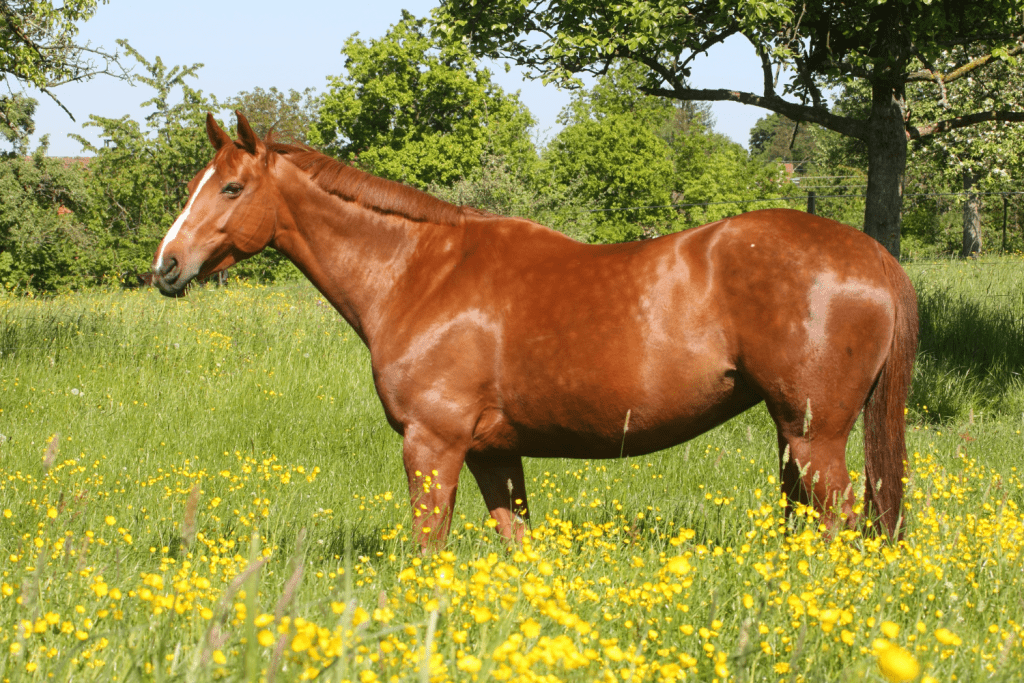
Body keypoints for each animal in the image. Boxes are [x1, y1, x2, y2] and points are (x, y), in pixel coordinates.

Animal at [152, 112, 918, 549]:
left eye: (231, 187)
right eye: (195, 184)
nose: (166, 266)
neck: (420, 273)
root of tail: (870, 256)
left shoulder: (433, 446)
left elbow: (429, 550)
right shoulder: (495, 452)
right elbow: (515, 544)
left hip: (814, 436)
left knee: (839, 522)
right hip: (792, 434)